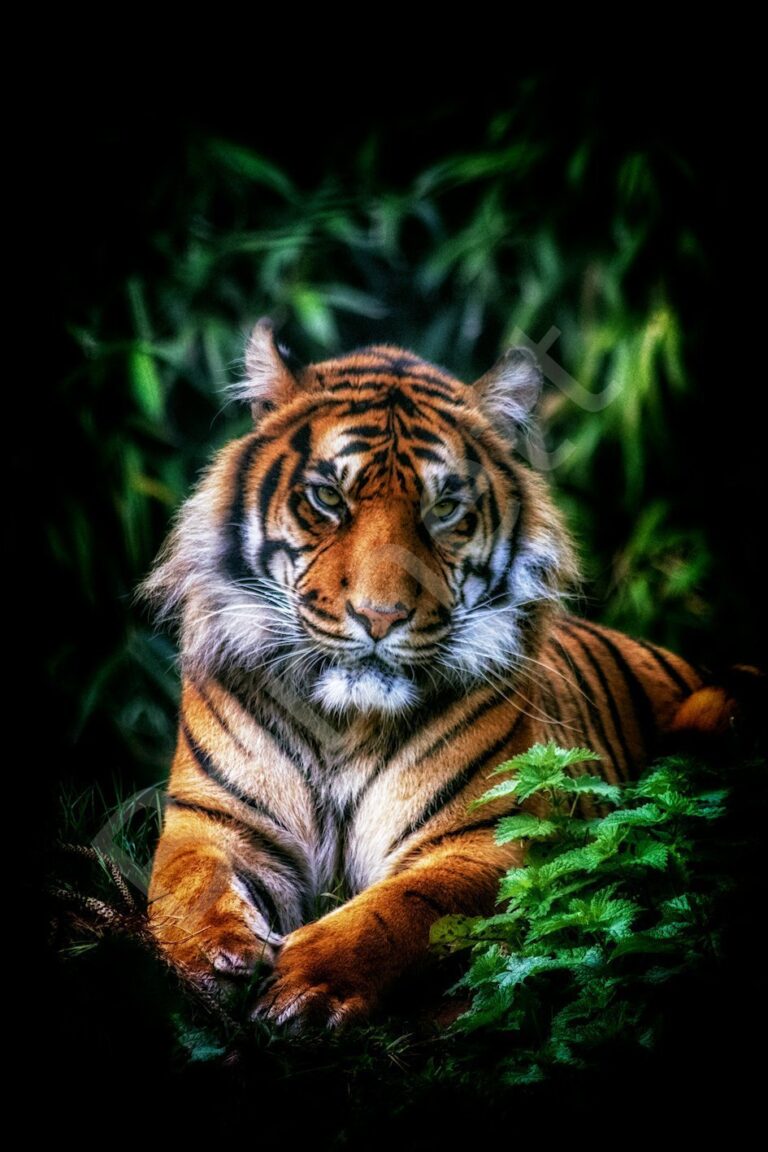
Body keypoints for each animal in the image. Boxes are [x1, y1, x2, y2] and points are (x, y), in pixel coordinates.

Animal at [143, 319, 716, 1031]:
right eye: (327, 498)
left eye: (444, 509)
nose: (379, 616)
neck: (344, 722)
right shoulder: (213, 820)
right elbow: (188, 887)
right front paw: (213, 962)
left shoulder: (489, 838)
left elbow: (401, 911)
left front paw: (306, 984)